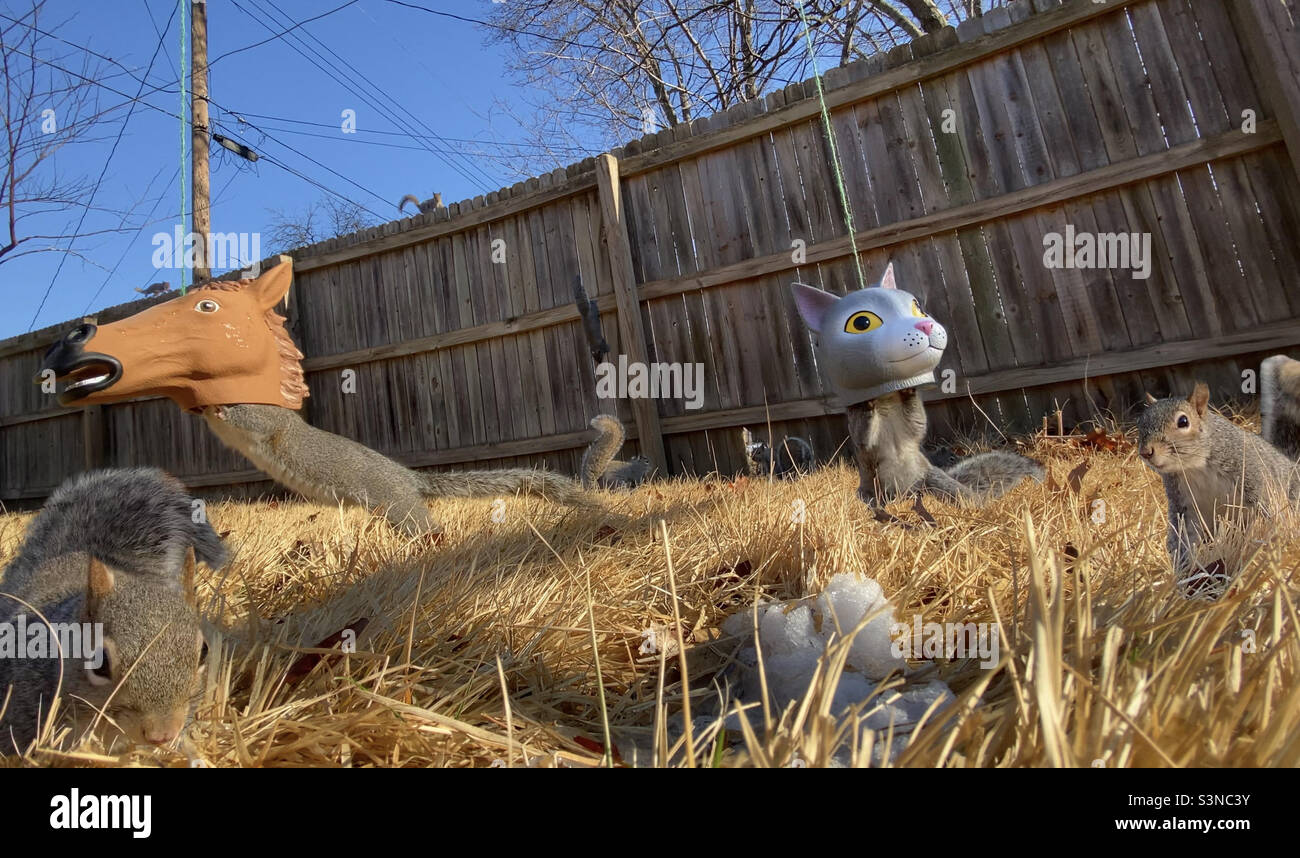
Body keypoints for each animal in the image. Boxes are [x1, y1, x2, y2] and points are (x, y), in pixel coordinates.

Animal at [845, 388, 1045, 508]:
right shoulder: (865, 442)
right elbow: (864, 436)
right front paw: (867, 406)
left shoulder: (909, 427)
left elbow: (916, 420)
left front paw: (908, 392)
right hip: (870, 490)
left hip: (934, 479)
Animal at [1137, 381, 1300, 578]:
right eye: (1140, 424)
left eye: (1183, 421)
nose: (1146, 452)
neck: (1194, 467)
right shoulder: (1184, 507)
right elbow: (1184, 537)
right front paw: (1183, 570)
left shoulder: (1251, 477)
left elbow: (1268, 512)